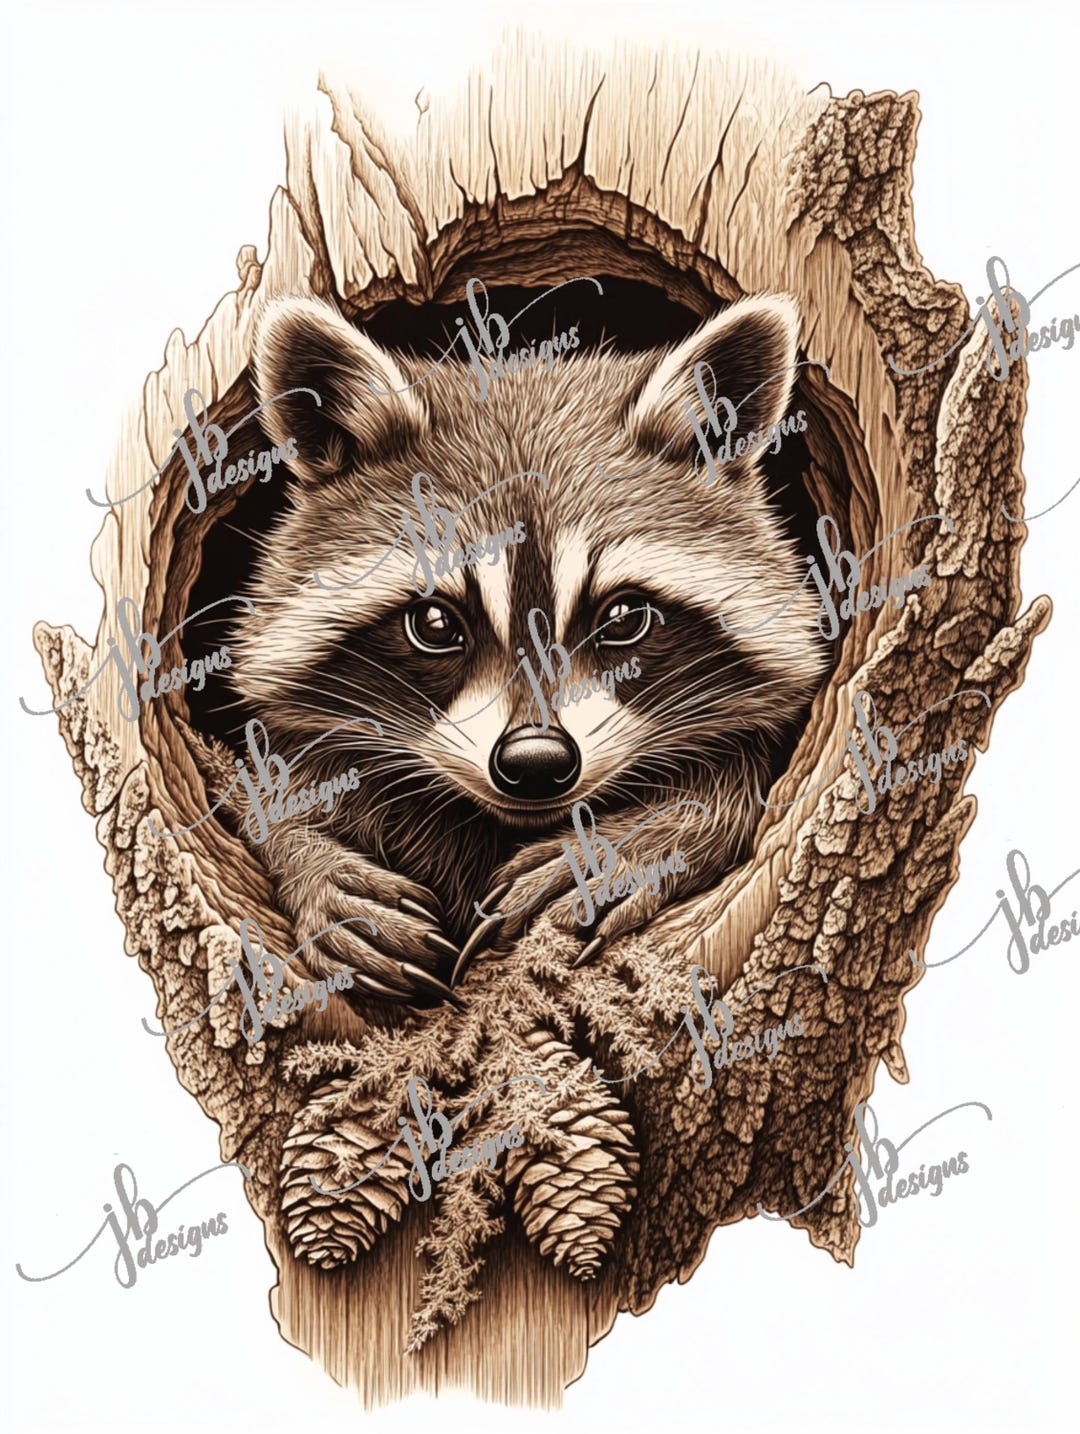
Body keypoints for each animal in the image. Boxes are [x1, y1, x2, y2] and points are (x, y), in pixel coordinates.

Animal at [227, 291, 828, 1007]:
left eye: (623, 617)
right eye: (435, 622)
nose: (536, 762)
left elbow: (739, 790)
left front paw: (629, 845)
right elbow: (274, 791)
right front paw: (313, 862)